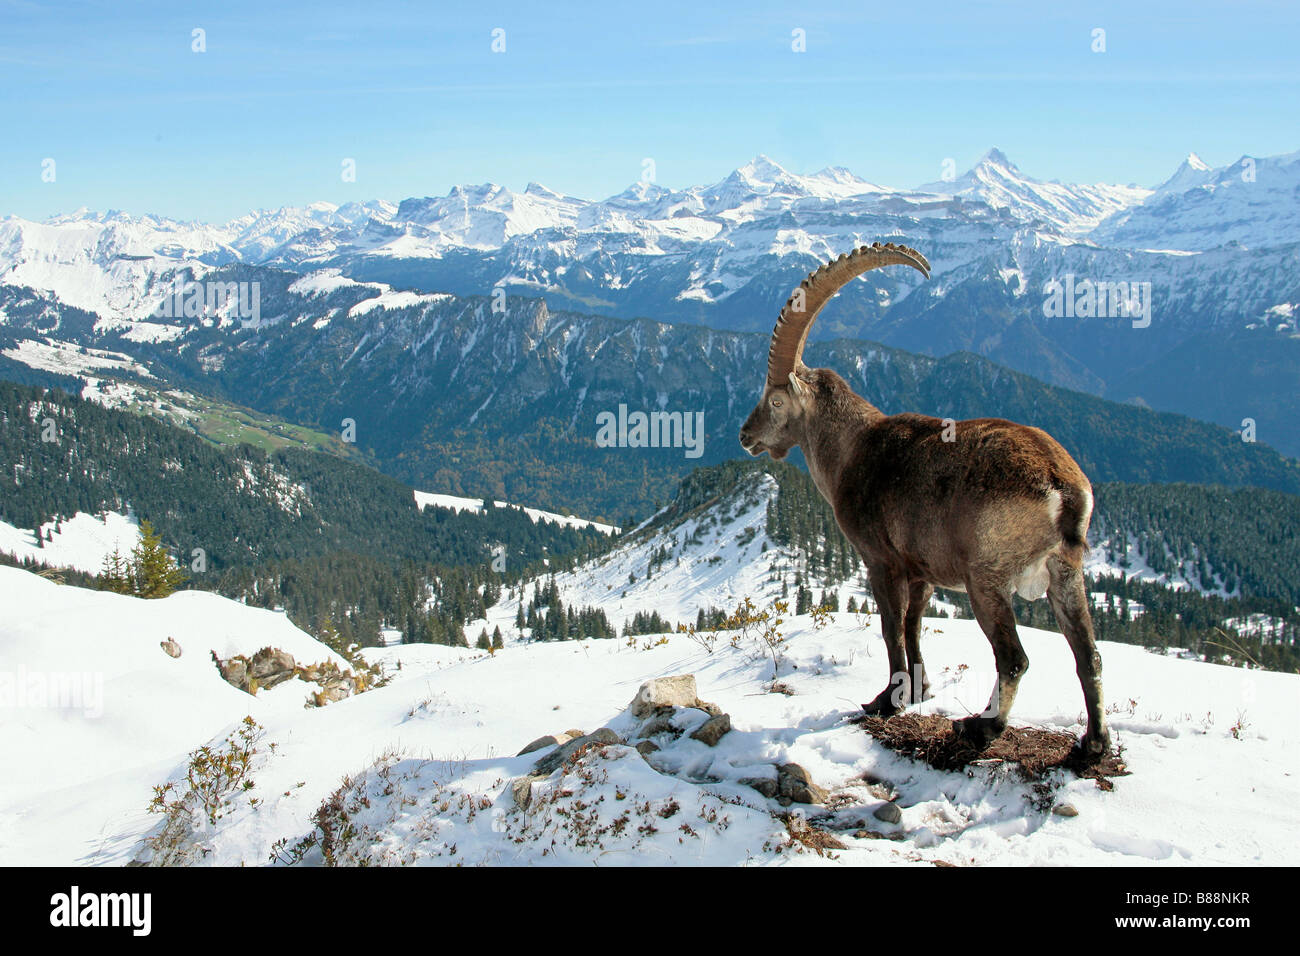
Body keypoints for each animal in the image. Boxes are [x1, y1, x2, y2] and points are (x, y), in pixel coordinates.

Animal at [738, 243, 1110, 757]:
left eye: (774, 401)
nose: (745, 435)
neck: (851, 450)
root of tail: (1063, 487)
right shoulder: (923, 572)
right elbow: (914, 626)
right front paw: (918, 691)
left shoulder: (881, 562)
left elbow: (891, 627)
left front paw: (885, 702)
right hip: (1066, 574)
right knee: (1089, 655)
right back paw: (1093, 743)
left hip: (986, 578)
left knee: (1014, 657)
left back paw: (983, 727)